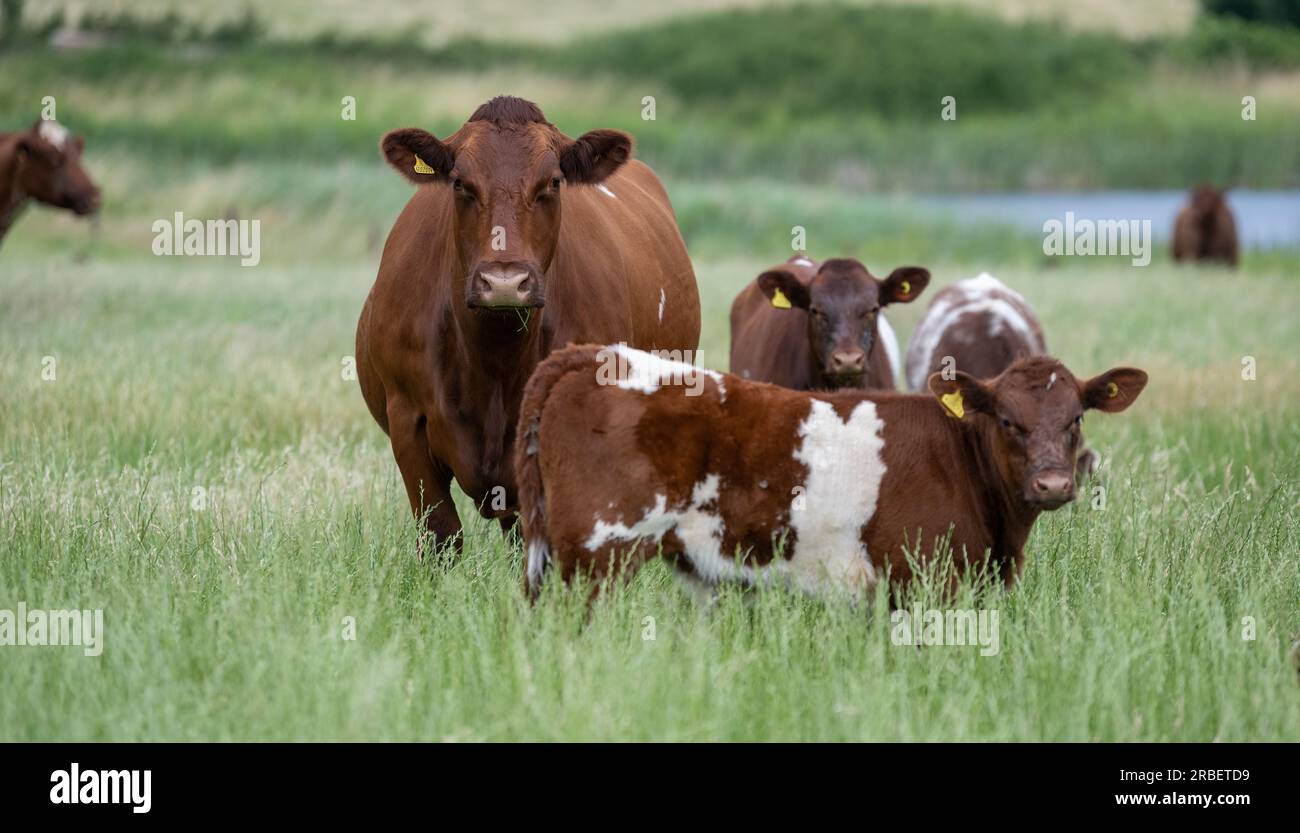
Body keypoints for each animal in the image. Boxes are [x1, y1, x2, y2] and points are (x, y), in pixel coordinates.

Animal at [356, 96, 700, 553]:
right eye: (460, 183)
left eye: (552, 183)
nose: (504, 282)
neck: (493, 358)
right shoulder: (407, 419)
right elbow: (441, 535)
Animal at [516, 343, 1146, 601]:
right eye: (1009, 421)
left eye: (1075, 419)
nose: (1053, 484)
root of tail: (589, 354)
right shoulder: (927, 577)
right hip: (598, 552)